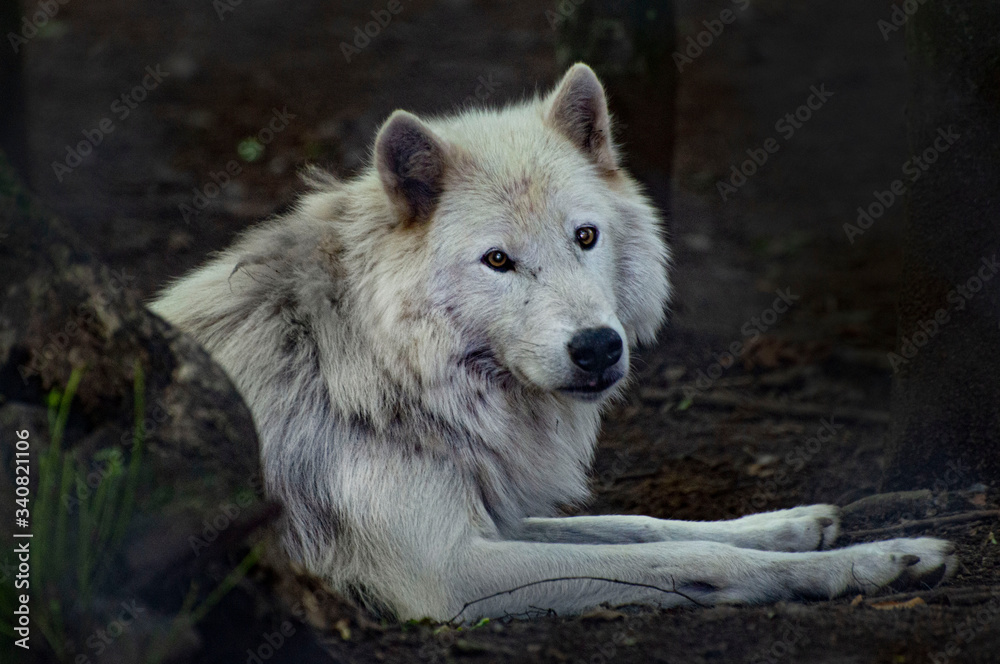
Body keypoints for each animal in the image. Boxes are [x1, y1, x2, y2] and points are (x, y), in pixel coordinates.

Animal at [150, 64, 955, 622]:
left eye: (586, 236)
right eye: (498, 261)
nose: (598, 347)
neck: (364, 366)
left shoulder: (493, 517)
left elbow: (641, 523)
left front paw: (812, 529)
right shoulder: (445, 575)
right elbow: (689, 558)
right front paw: (863, 565)